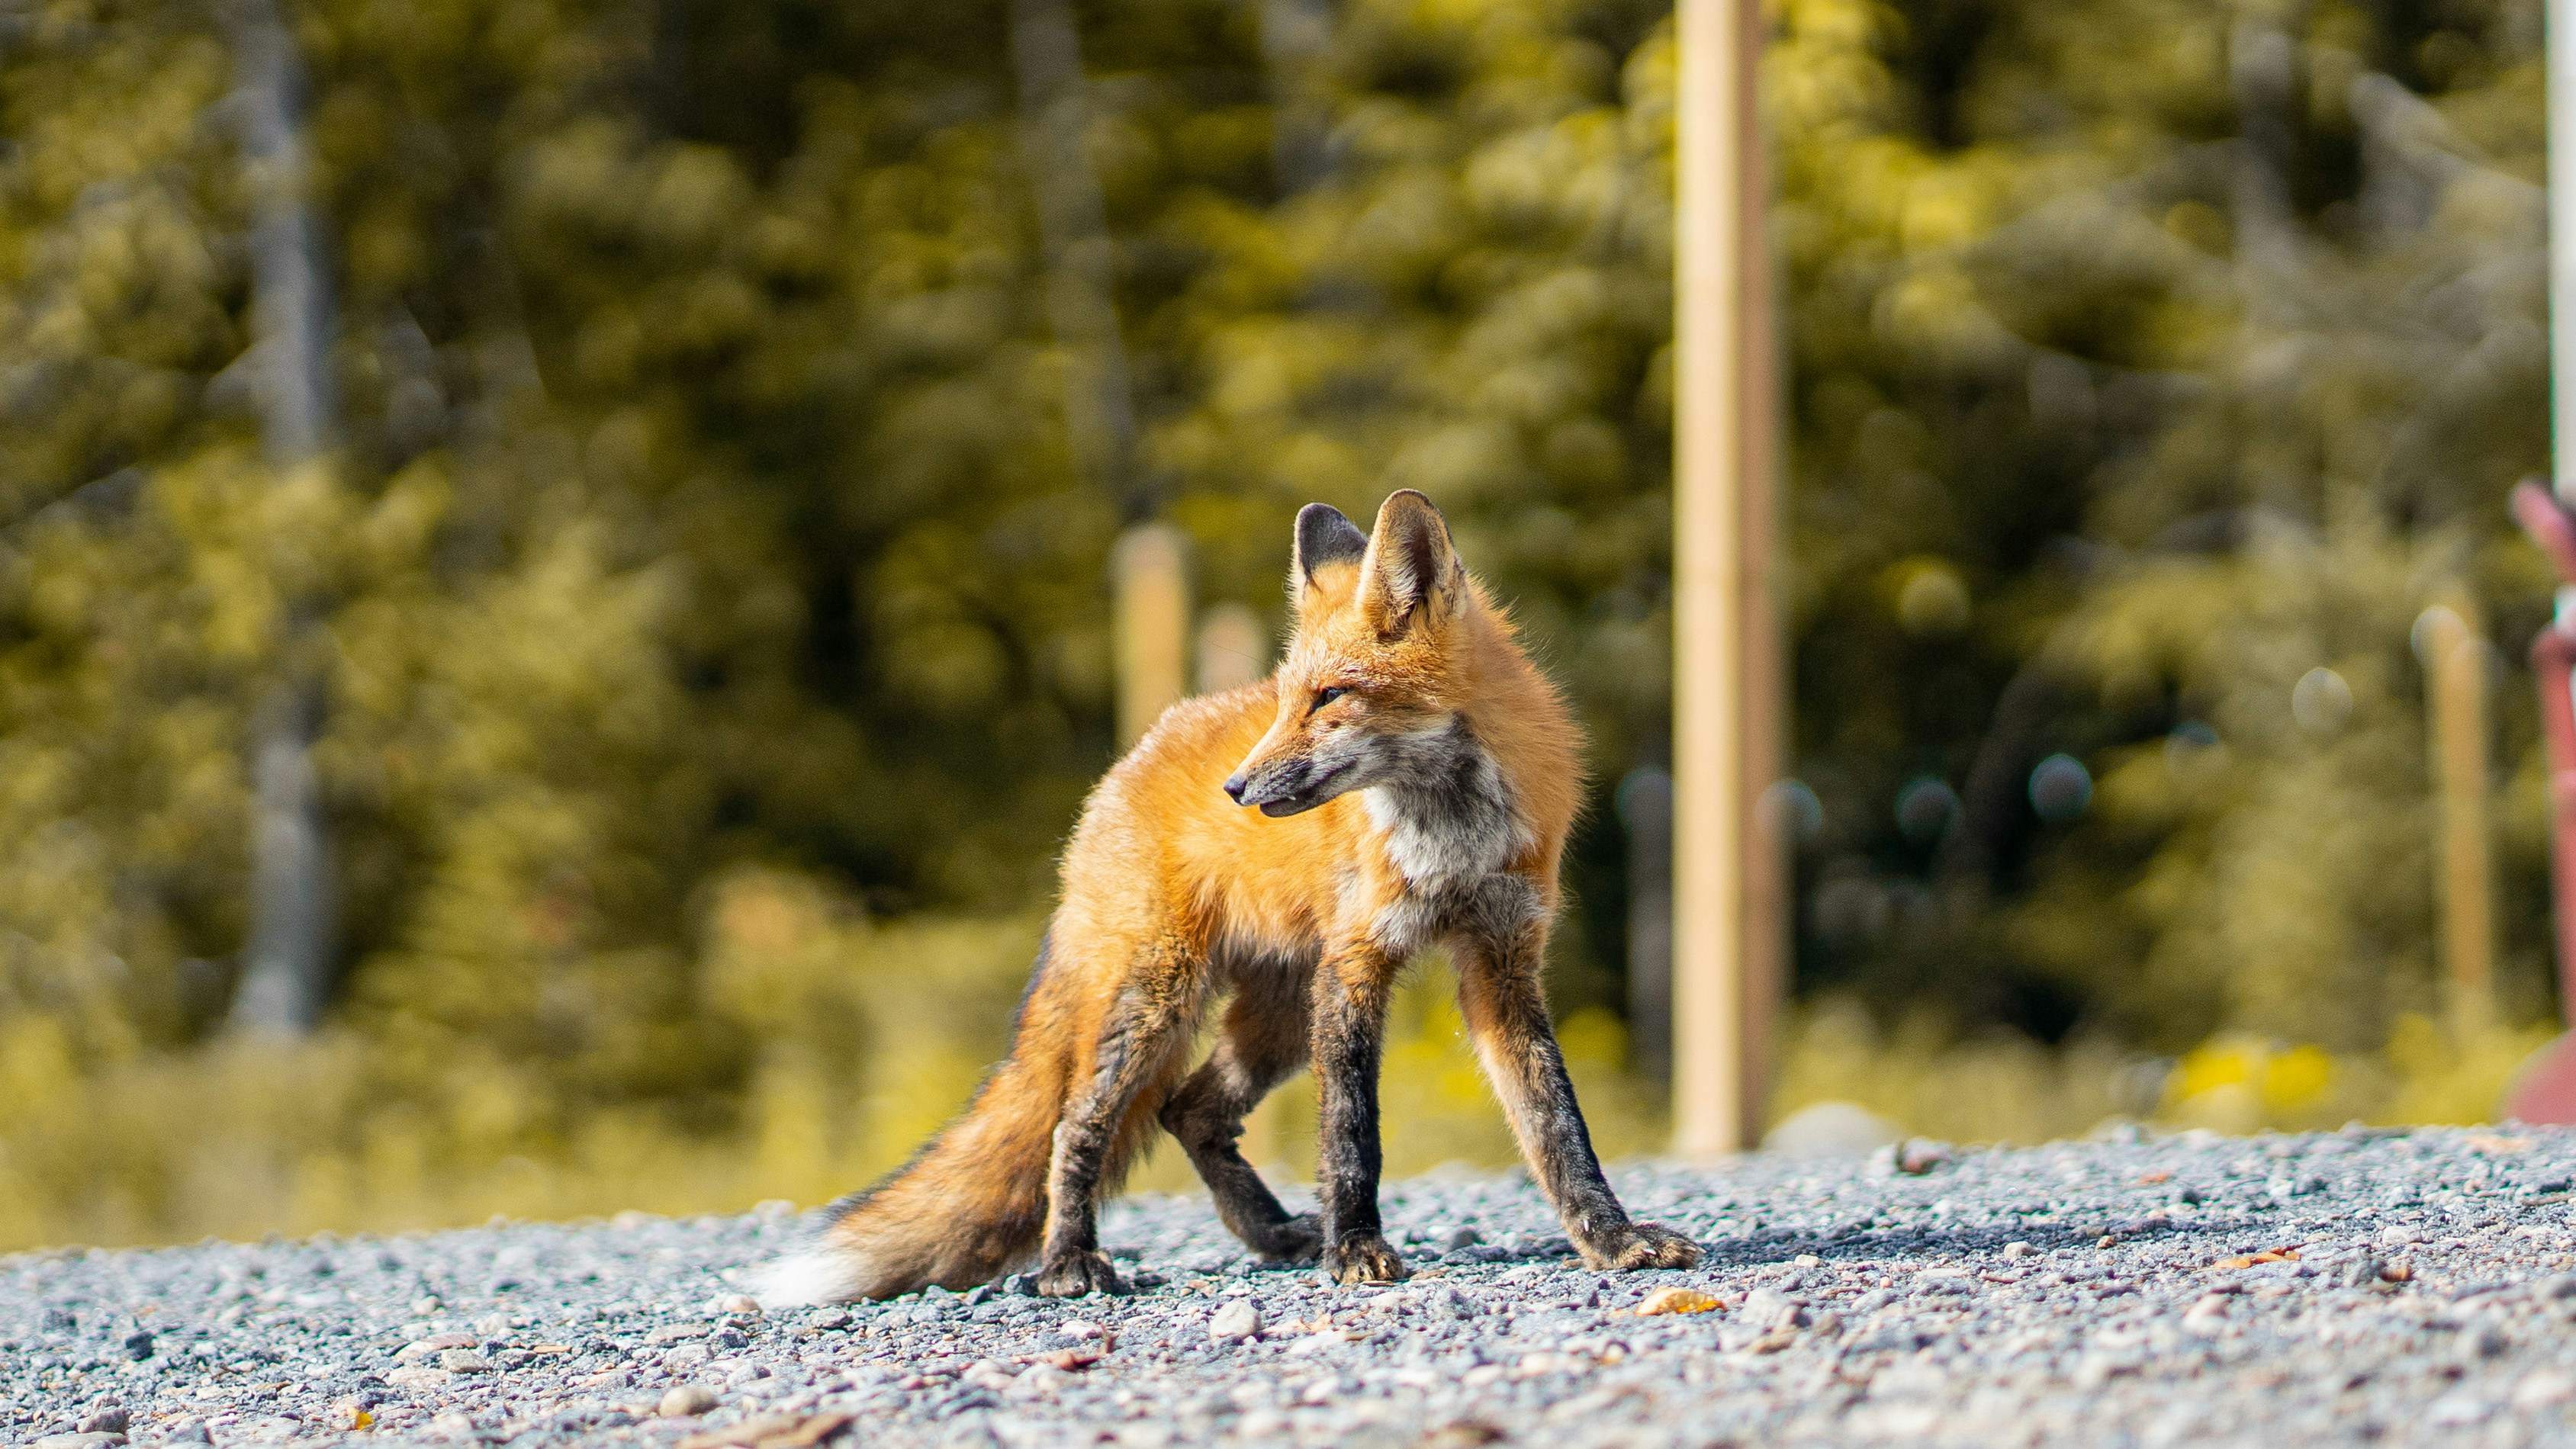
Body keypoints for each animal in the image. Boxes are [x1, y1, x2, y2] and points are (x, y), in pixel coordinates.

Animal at [759, 489, 1701, 1304]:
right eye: (1285, 701)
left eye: (1329, 697)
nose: (1236, 790)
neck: (1449, 834)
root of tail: (1123, 769)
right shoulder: (1356, 965)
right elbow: (1350, 1134)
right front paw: (1355, 1248)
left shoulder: (1501, 962)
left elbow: (1557, 1125)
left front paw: (1610, 1239)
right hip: (1160, 1000)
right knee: (1076, 1124)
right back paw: (1070, 1262)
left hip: (1277, 1018)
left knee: (1189, 1110)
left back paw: (1273, 1233)